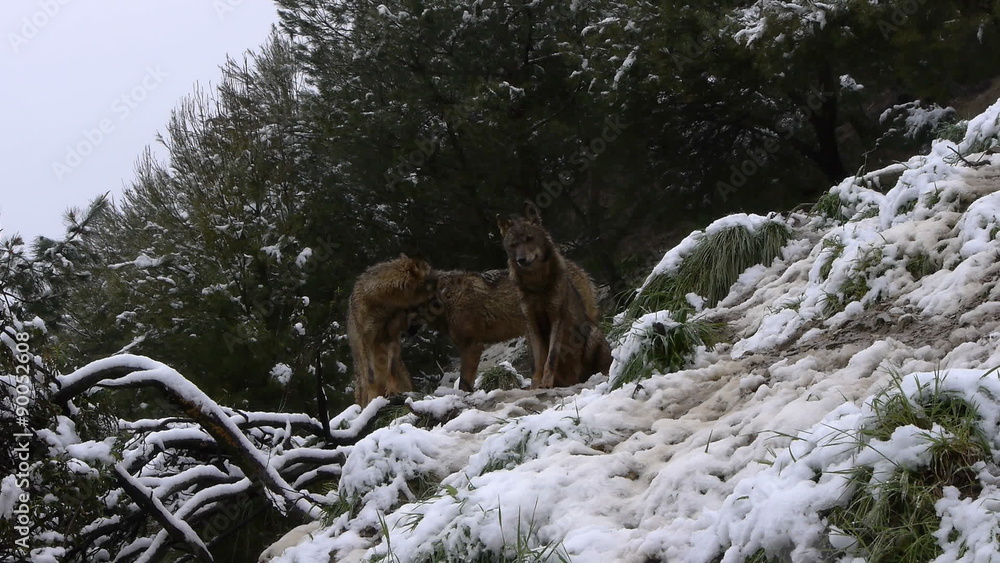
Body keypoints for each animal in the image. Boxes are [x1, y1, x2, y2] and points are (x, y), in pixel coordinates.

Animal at [347, 254, 437, 405]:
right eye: (435, 287)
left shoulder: (393, 335)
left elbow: (391, 369)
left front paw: (392, 391)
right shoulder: (366, 340)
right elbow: (371, 376)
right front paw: (373, 400)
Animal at [497, 203, 613, 388]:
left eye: (529, 238)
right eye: (514, 244)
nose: (521, 259)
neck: (537, 286)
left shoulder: (557, 318)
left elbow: (551, 357)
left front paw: (546, 382)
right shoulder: (532, 324)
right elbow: (540, 360)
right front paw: (536, 384)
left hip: (592, 334)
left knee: (604, 366)